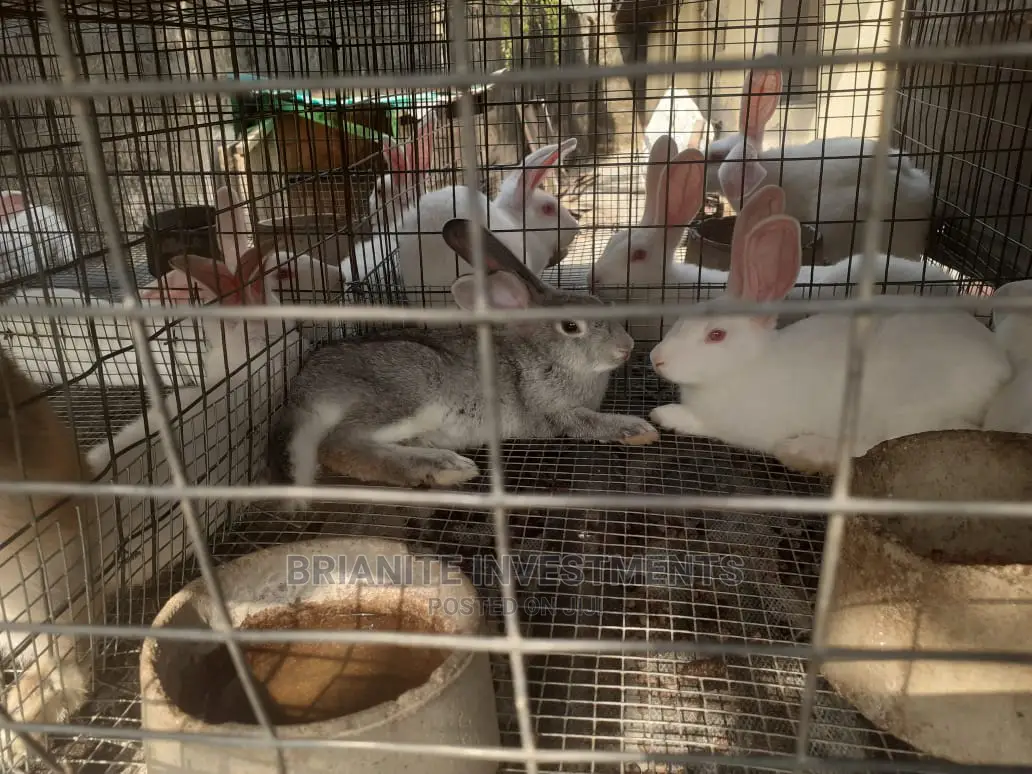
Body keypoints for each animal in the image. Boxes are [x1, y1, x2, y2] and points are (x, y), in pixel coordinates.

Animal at [267, 217, 659, 511]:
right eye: (571, 327)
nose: (626, 347)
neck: (543, 354)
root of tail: (305, 388)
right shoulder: (553, 410)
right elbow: (590, 422)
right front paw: (639, 430)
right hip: (409, 391)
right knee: (340, 445)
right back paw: (443, 467)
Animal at [647, 184, 1012, 476]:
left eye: (716, 335)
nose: (656, 359)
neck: (747, 366)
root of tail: (1001, 368)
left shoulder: (737, 424)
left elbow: (702, 422)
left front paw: (665, 415)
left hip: (903, 408)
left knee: (879, 443)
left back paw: (801, 452)